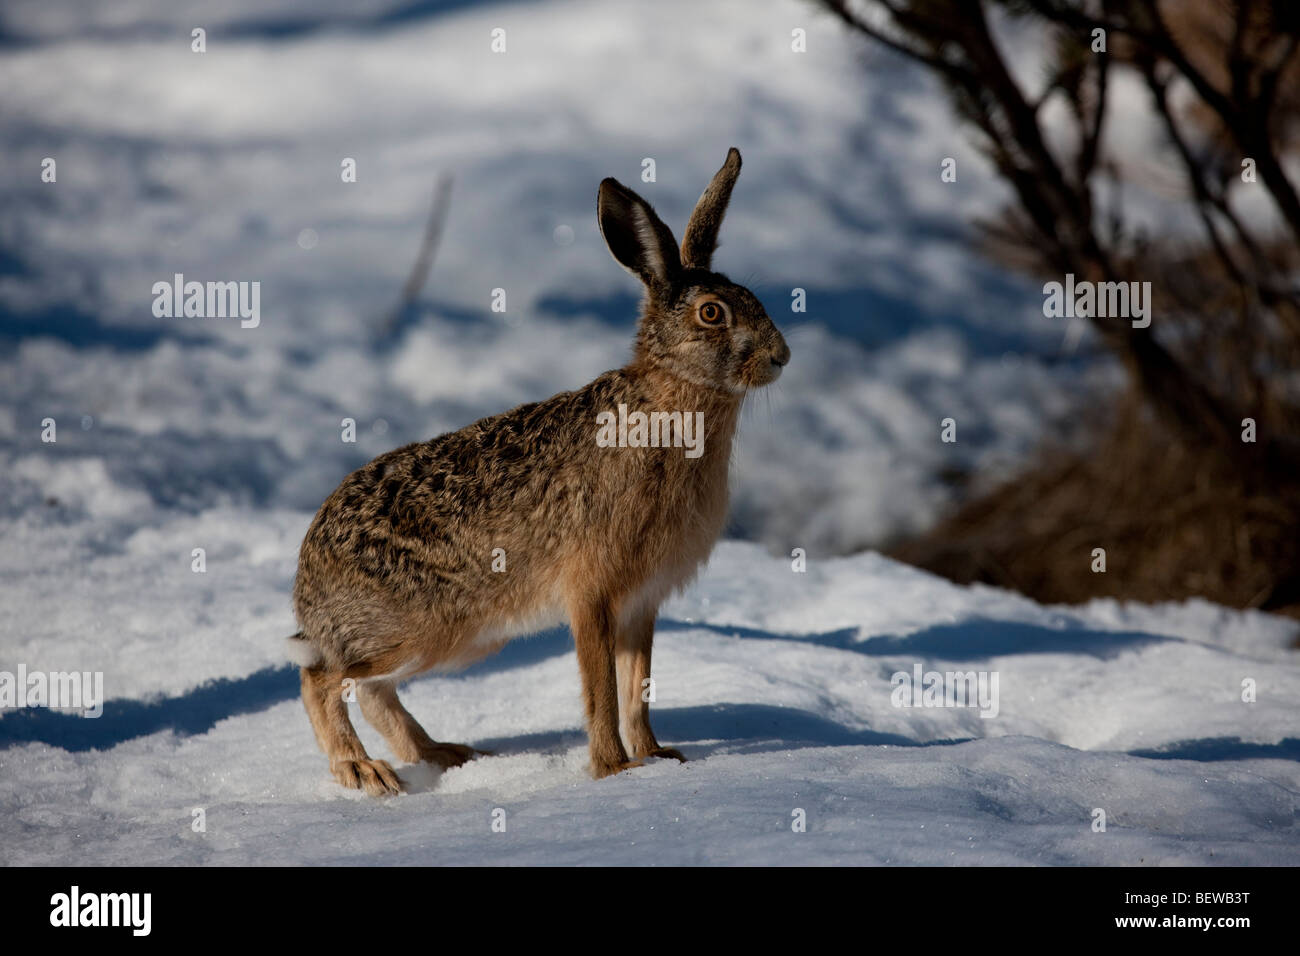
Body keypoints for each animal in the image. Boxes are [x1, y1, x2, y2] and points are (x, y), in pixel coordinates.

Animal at [291, 147, 790, 795]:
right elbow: (601, 690)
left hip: (462, 638)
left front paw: (658, 759)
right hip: (422, 628)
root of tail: (307, 586)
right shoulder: (592, 592)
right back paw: (363, 772)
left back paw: (444, 755)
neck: (672, 401)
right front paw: (613, 770)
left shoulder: (641, 603)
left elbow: (637, 690)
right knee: (324, 678)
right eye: (712, 313)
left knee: (372, 690)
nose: (781, 356)